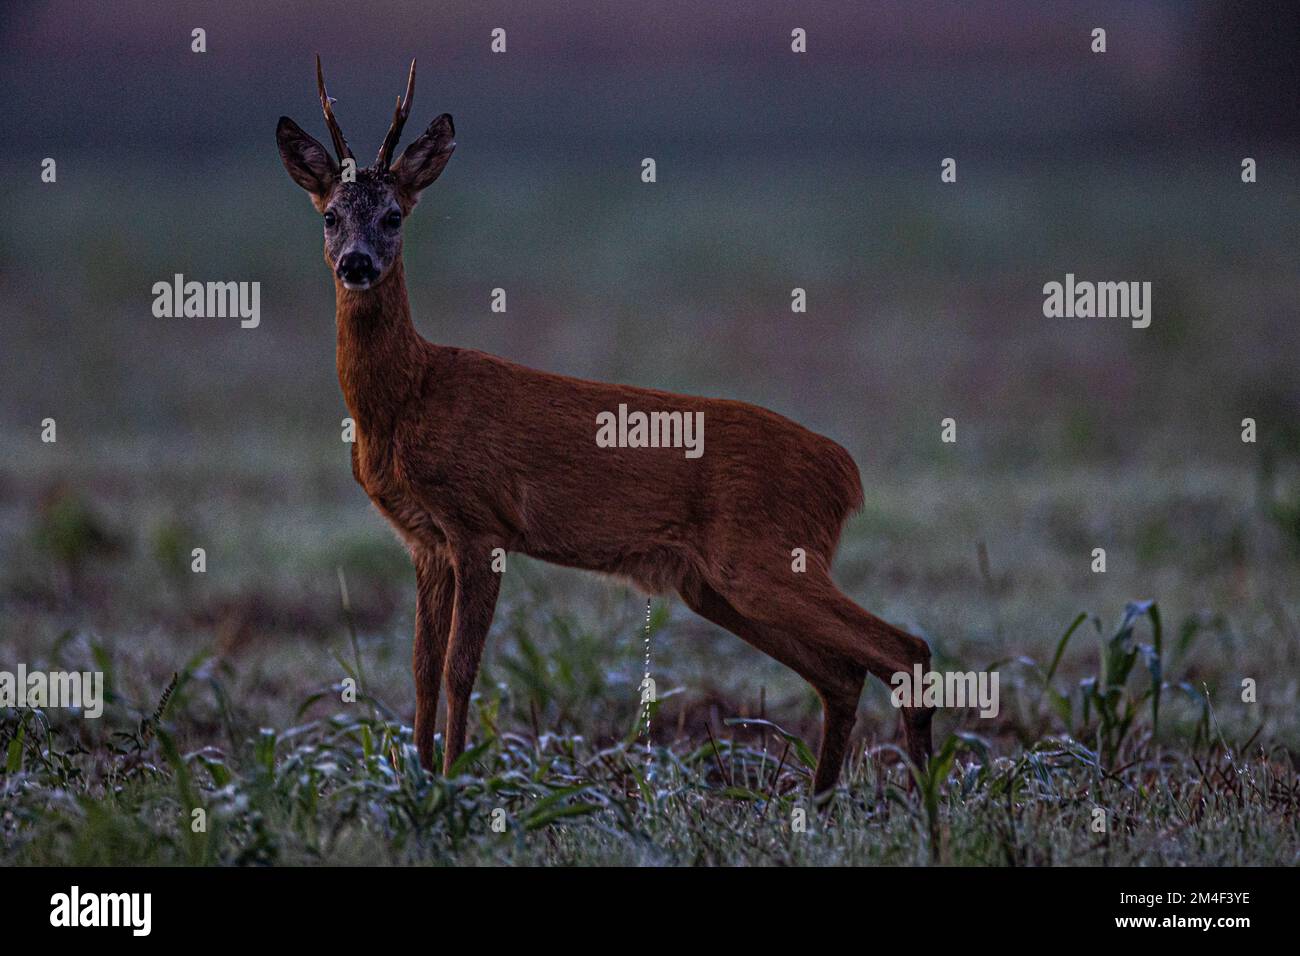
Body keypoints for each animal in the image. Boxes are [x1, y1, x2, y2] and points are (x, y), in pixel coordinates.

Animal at [276, 57, 933, 796]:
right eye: (330, 215)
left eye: (393, 215)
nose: (356, 262)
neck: (407, 400)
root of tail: (844, 471)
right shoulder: (425, 542)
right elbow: (418, 670)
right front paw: (416, 780)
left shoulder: (480, 526)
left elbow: (457, 671)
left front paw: (453, 782)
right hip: (716, 584)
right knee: (843, 674)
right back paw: (820, 801)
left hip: (764, 555)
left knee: (905, 648)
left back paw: (923, 798)